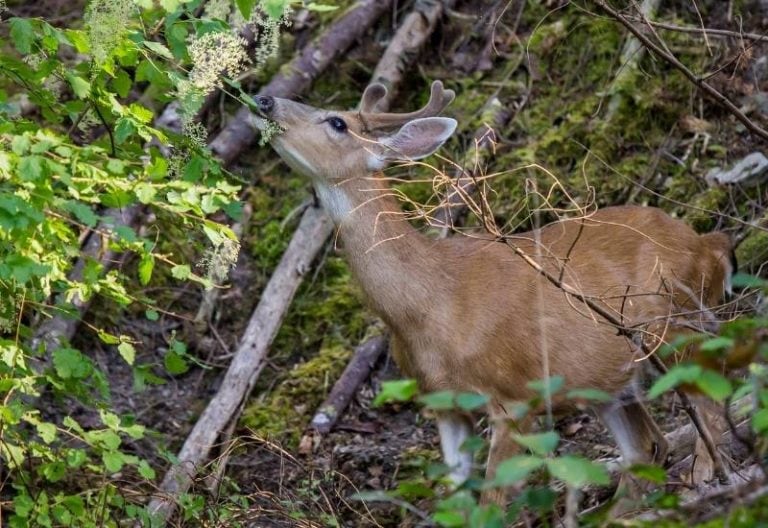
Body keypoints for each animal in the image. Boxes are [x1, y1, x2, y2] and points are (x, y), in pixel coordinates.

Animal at [251, 81, 735, 507]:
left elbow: (494, 500)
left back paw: (707, 483)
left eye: (336, 122)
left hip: (675, 326)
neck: (427, 305)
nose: (264, 99)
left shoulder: (517, 393)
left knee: (710, 404)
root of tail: (707, 245)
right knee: (647, 447)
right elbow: (458, 500)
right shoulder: (444, 403)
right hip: (609, 379)